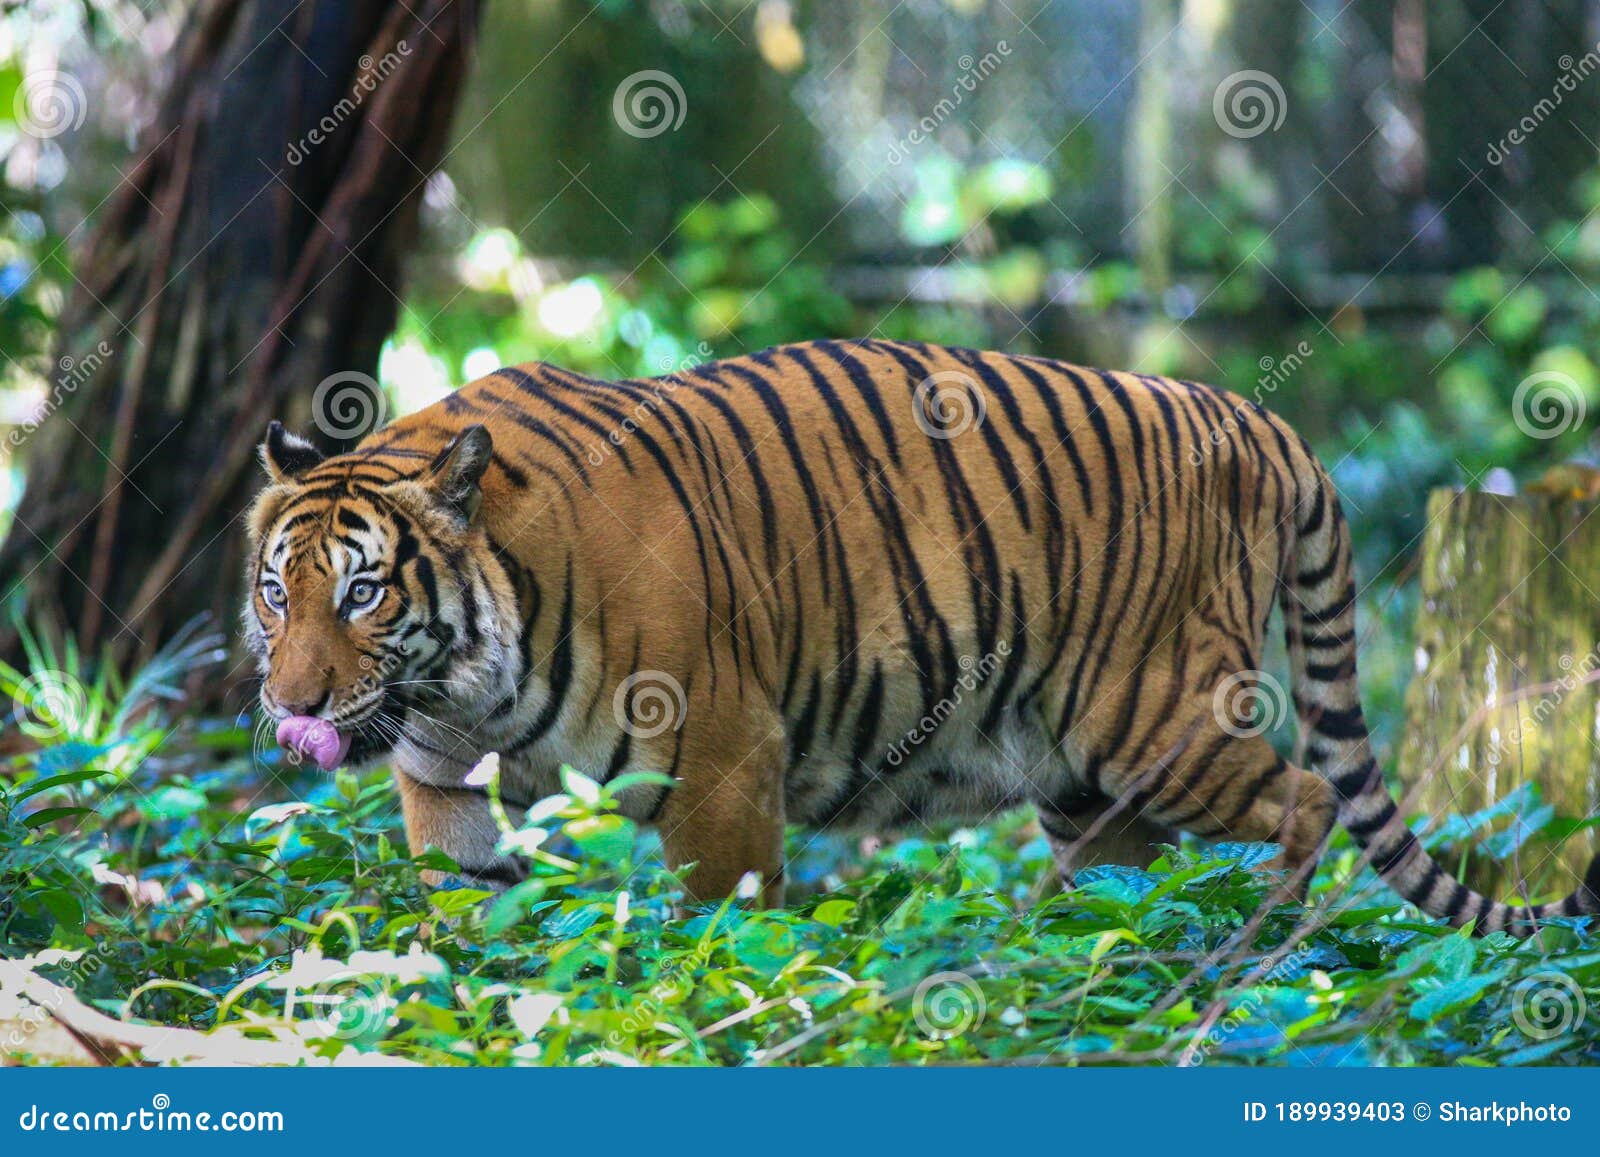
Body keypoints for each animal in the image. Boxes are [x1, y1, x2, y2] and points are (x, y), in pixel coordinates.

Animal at [244, 339, 1600, 935]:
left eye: (363, 594)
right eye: (275, 592)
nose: (294, 705)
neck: (460, 677)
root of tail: (1251, 416)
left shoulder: (720, 758)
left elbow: (718, 919)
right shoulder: (442, 775)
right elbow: (462, 909)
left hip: (1157, 713)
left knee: (1308, 797)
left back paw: (1241, 957)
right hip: (1084, 776)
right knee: (1121, 869)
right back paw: (1062, 957)